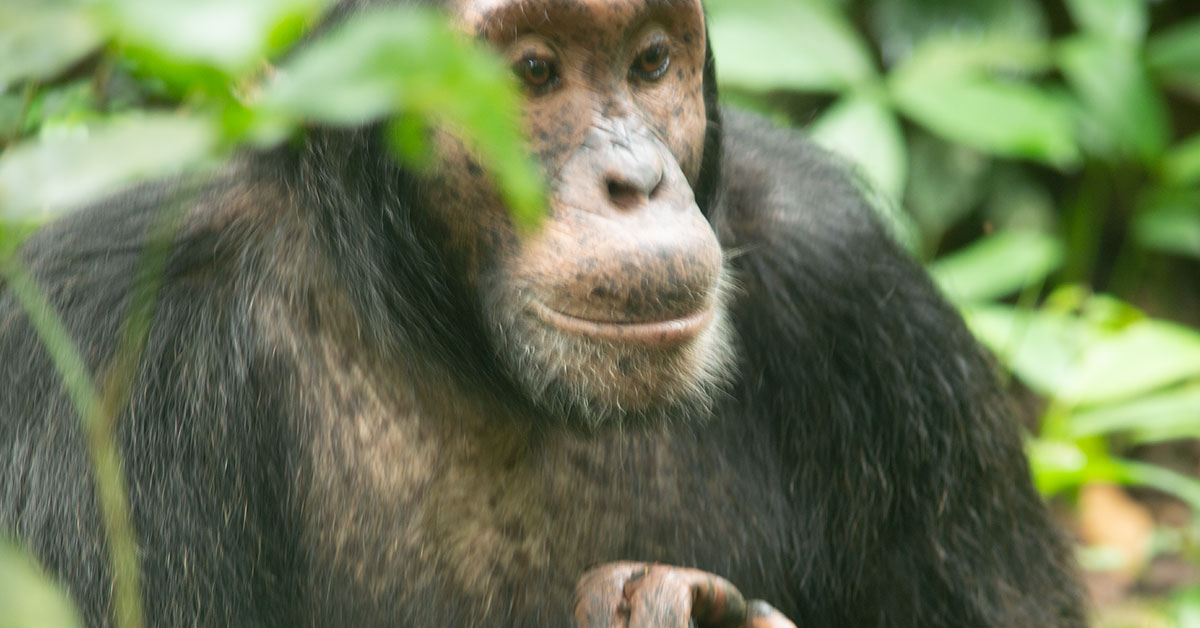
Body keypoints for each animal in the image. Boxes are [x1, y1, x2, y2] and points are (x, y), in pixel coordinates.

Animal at [0, 0, 1087, 626]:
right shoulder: (98, 352)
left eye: (649, 62)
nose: (635, 177)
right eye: (532, 71)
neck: (461, 345)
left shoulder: (862, 298)